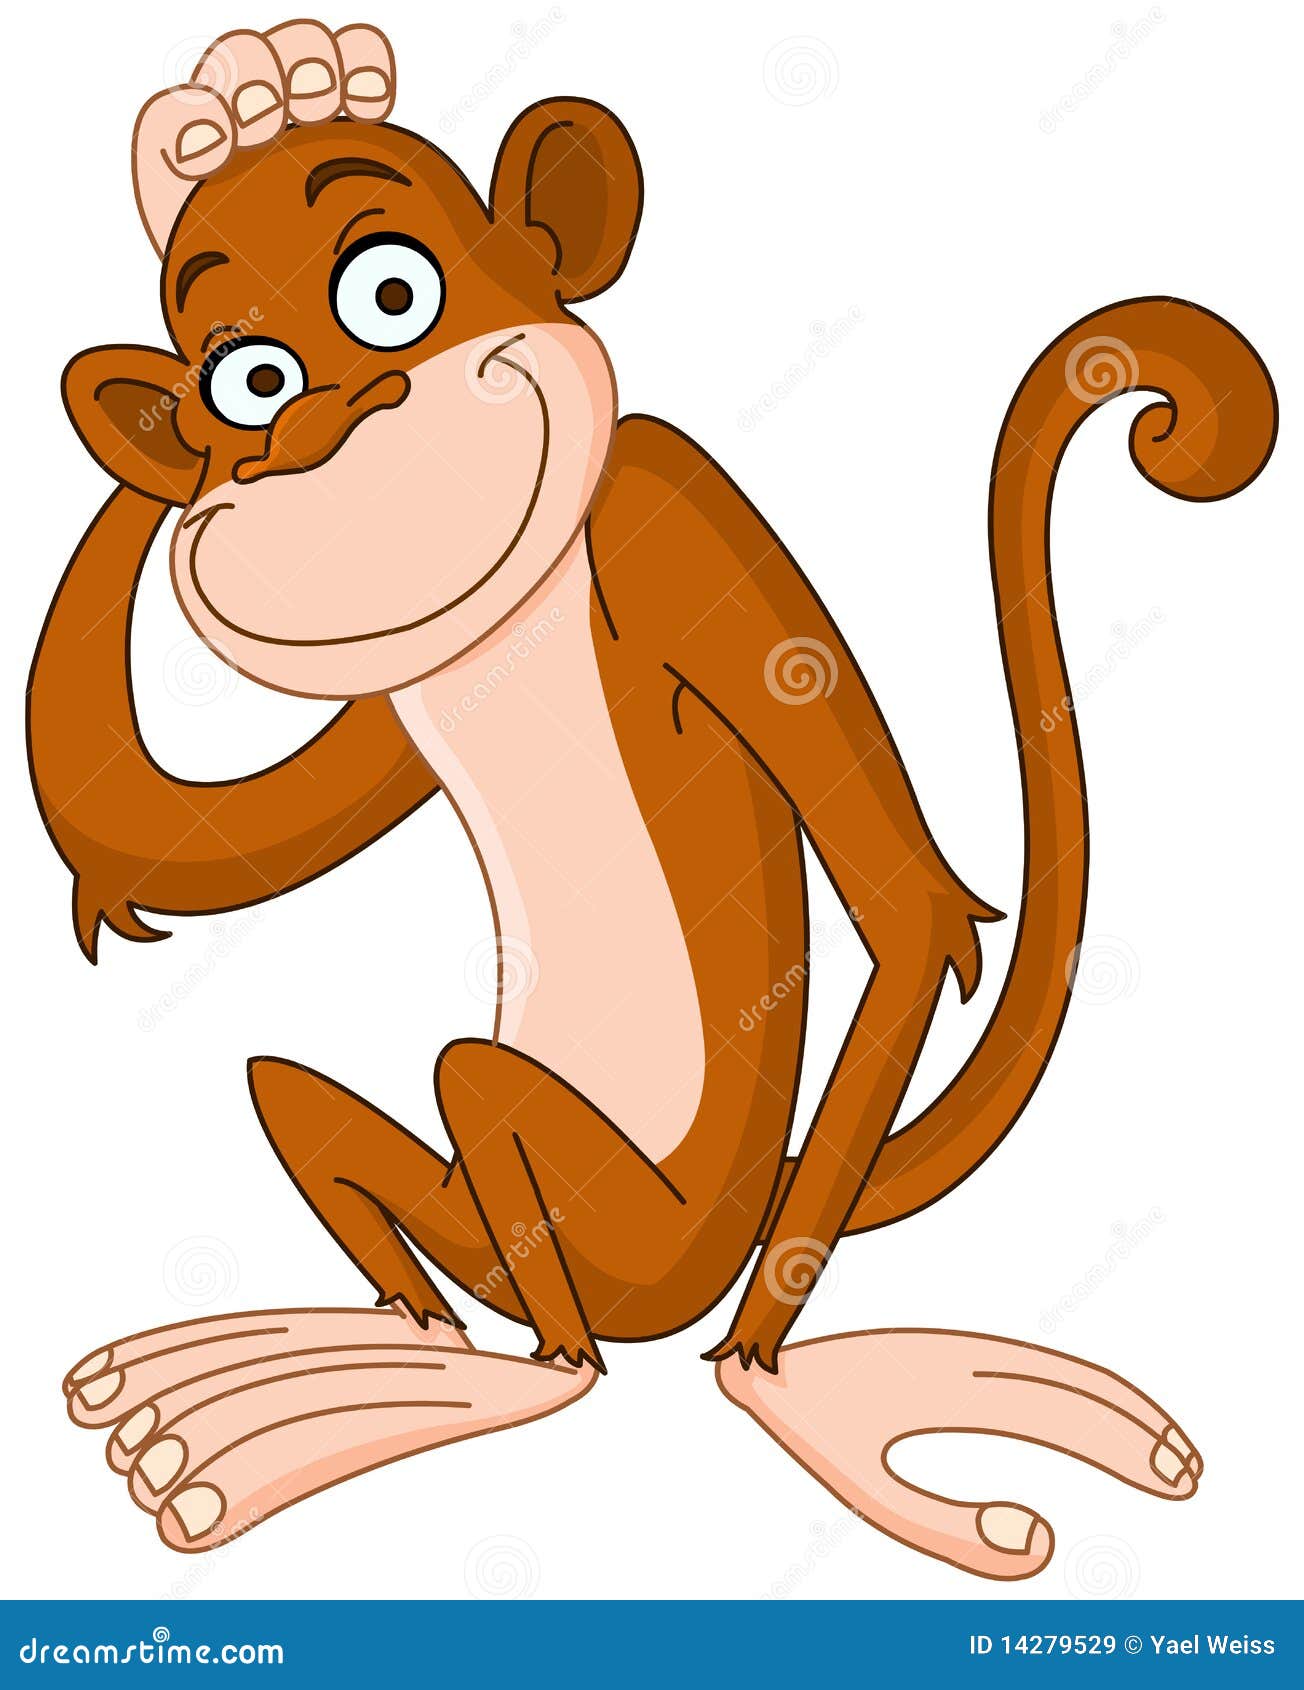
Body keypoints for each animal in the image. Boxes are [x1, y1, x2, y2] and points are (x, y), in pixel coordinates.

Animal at [29, 22, 1277, 1575]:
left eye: (391, 292)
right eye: (246, 382)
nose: (318, 429)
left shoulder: (676, 513)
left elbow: (901, 905)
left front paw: (765, 1380)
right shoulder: (389, 700)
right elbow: (189, 840)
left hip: (619, 1215)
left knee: (474, 1092)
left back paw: (554, 1365)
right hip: (478, 1219)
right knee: (301, 1103)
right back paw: (421, 1336)